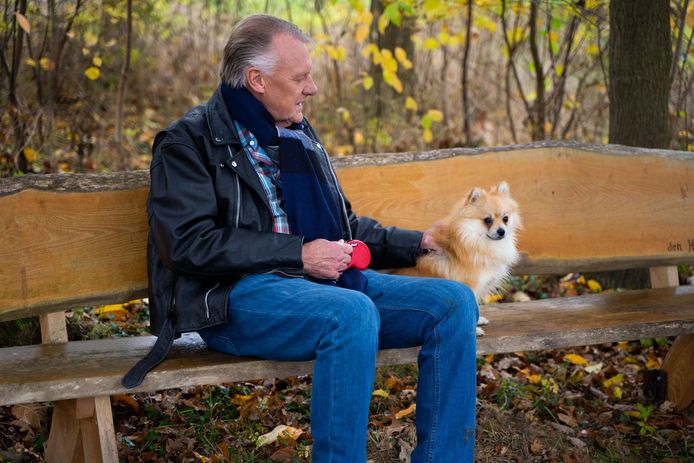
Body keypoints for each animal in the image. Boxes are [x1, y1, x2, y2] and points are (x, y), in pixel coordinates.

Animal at [396, 179, 520, 336]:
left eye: (505, 219)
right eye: (487, 220)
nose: (501, 231)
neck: (478, 241)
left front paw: (478, 321)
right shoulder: (469, 285)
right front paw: (474, 329)